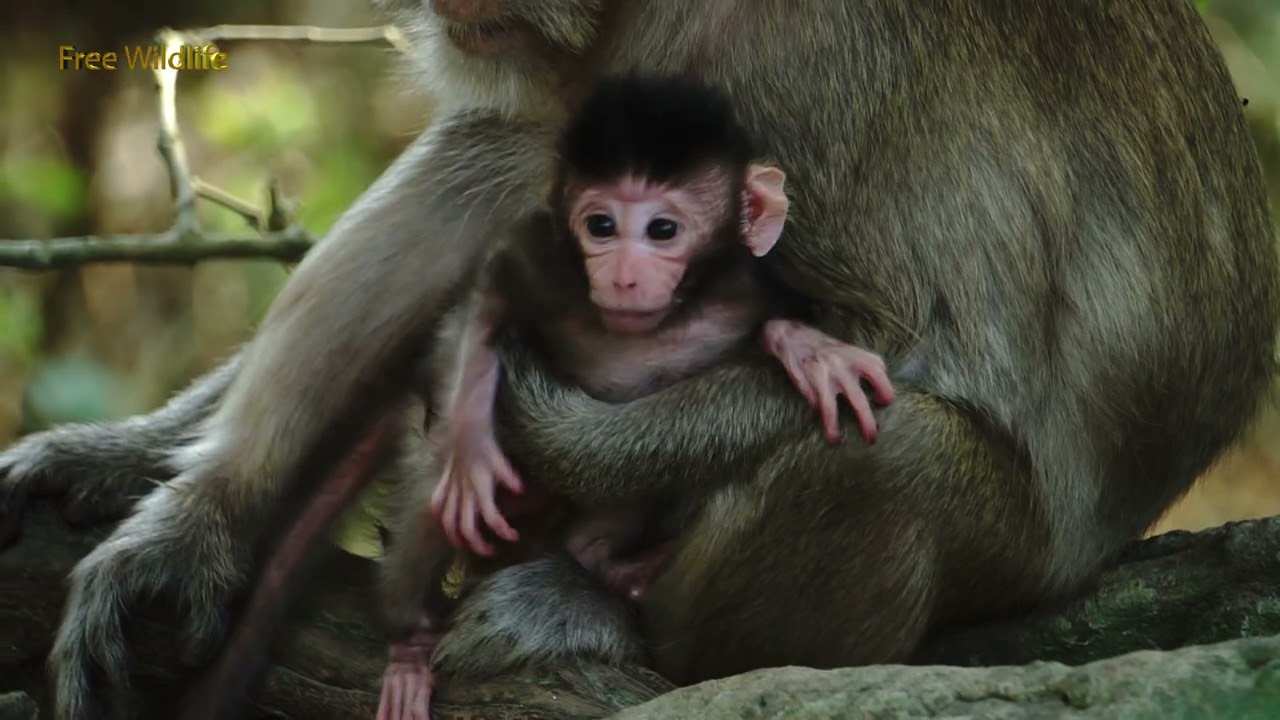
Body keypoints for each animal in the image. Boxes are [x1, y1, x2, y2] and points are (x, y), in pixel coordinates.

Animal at [0, 1, 1272, 718]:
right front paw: (131, 457)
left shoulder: (814, 59)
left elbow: (877, 338)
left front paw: (543, 435)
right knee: (496, 148)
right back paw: (206, 518)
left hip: (1019, 553)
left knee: (877, 460)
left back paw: (600, 615)